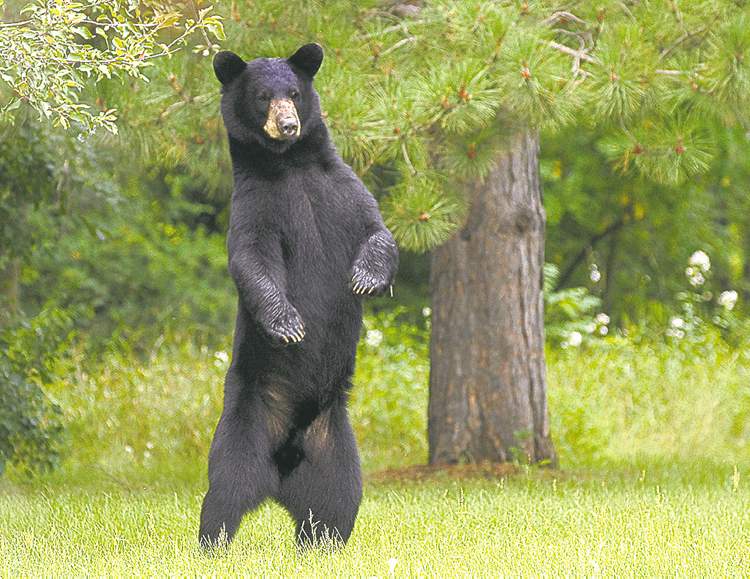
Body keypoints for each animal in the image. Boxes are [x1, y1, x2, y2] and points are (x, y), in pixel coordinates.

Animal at [198, 43, 399, 549]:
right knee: (225, 491)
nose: (288, 124)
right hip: (245, 424)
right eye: (263, 97)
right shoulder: (256, 206)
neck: (291, 164)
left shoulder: (342, 187)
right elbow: (252, 259)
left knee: (338, 499)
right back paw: (212, 544)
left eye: (292, 93)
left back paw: (323, 543)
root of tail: (282, 470)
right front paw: (287, 322)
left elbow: (378, 232)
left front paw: (366, 278)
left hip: (334, 443)